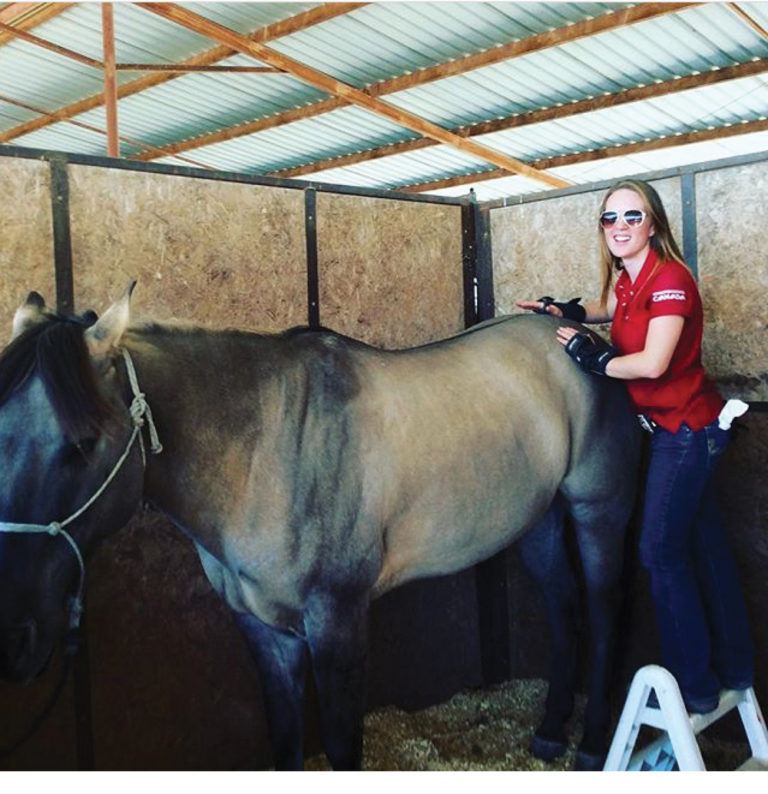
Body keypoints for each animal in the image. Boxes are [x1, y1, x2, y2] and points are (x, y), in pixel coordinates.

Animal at [0, 284, 641, 770]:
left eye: (82, 444)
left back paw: (591, 745)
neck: (266, 449)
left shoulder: (338, 626)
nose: (14, 640)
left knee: (605, 608)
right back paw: (551, 732)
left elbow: (340, 748)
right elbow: (286, 744)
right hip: (538, 518)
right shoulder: (264, 631)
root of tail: (580, 341)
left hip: (597, 508)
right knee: (563, 605)